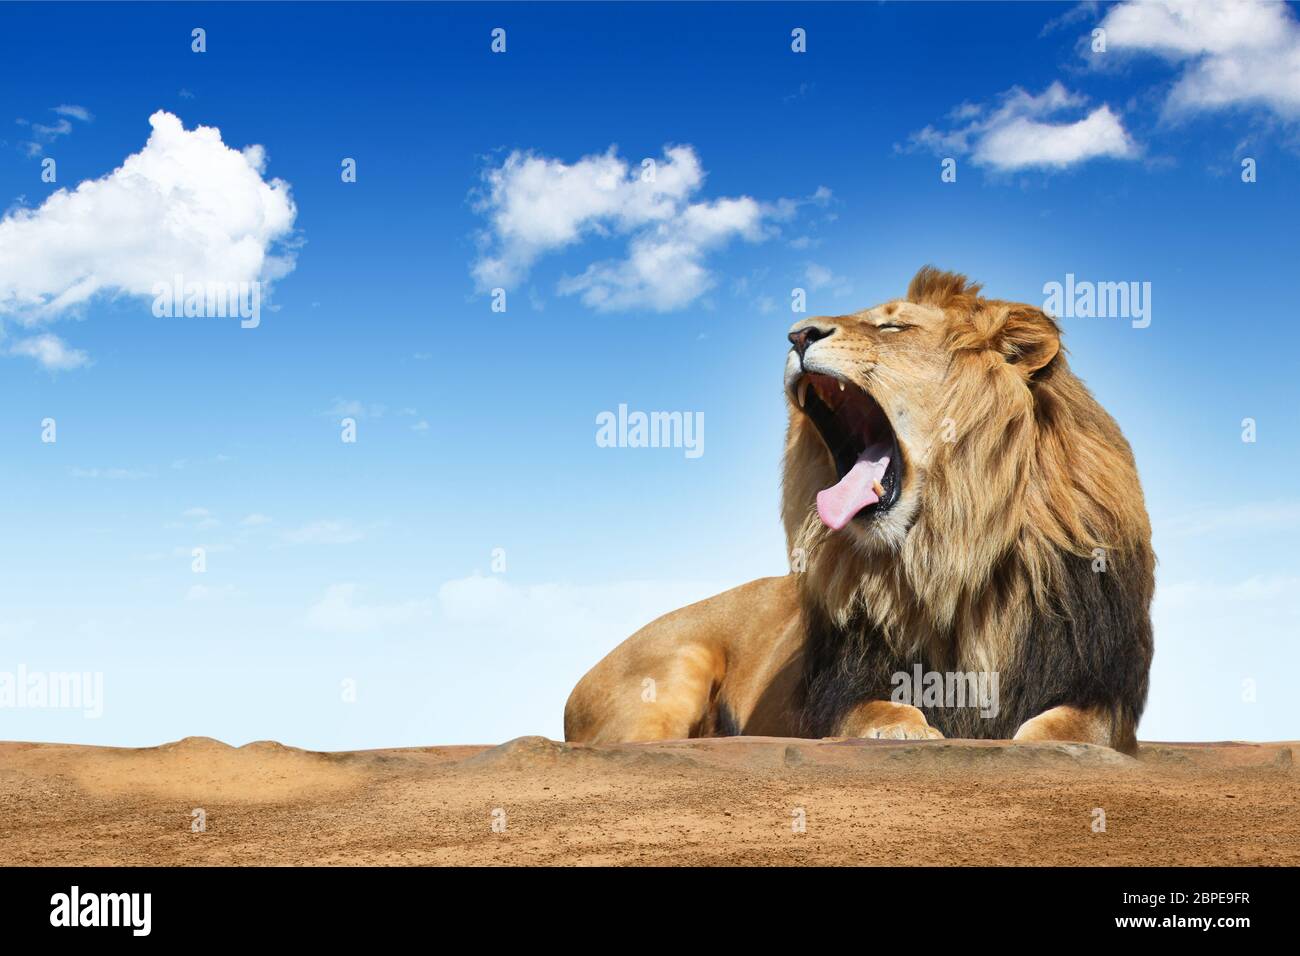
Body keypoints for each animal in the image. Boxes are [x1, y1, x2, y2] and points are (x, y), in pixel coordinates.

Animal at [564, 267, 1154, 753]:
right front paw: (901, 728)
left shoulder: (1100, 685)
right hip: (676, 667)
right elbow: (870, 709)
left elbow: (1074, 725)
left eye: (893, 328)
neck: (949, 559)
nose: (798, 335)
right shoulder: (839, 691)